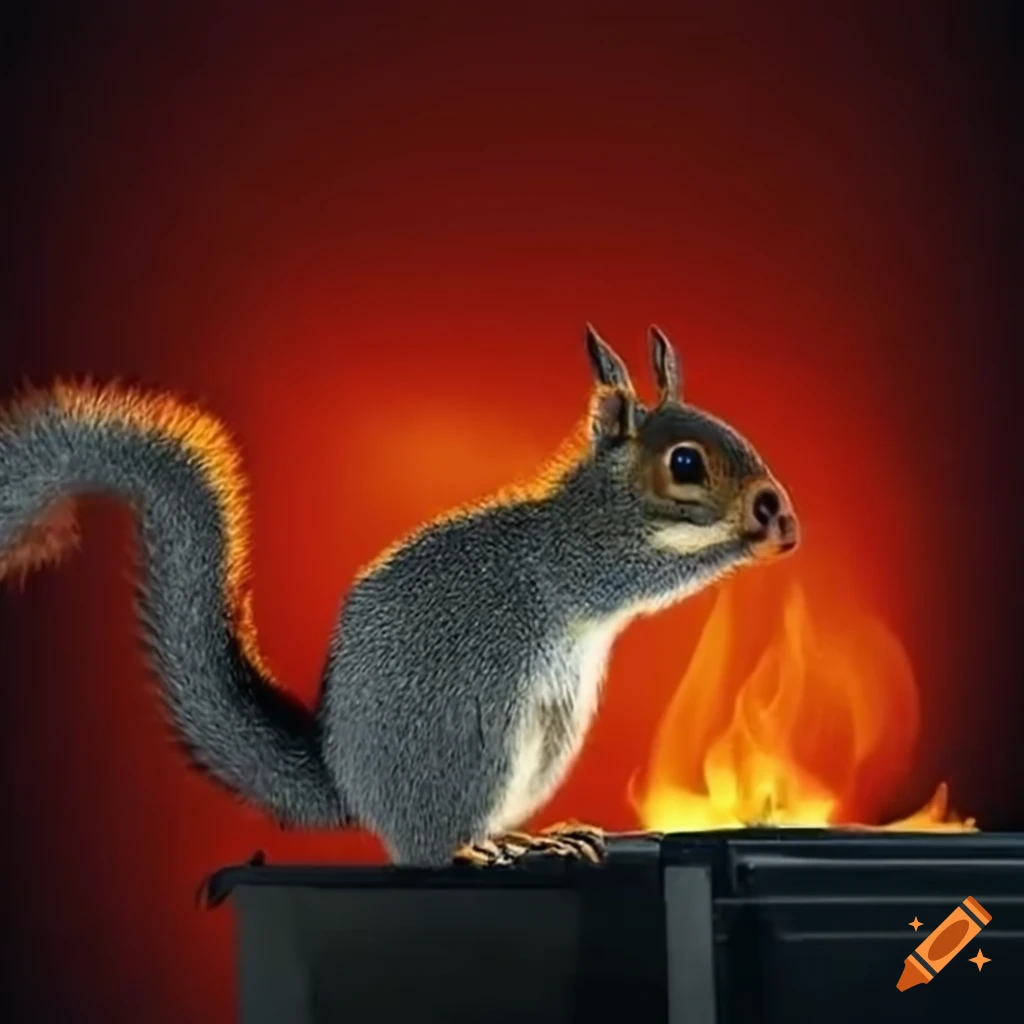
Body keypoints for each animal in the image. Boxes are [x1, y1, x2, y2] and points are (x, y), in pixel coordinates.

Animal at [0, 325, 798, 867]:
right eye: (686, 464)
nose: (771, 501)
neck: (607, 501)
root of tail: (354, 787)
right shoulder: (582, 556)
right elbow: (637, 574)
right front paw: (751, 536)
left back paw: (536, 837)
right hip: (474, 742)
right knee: (427, 848)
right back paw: (473, 850)